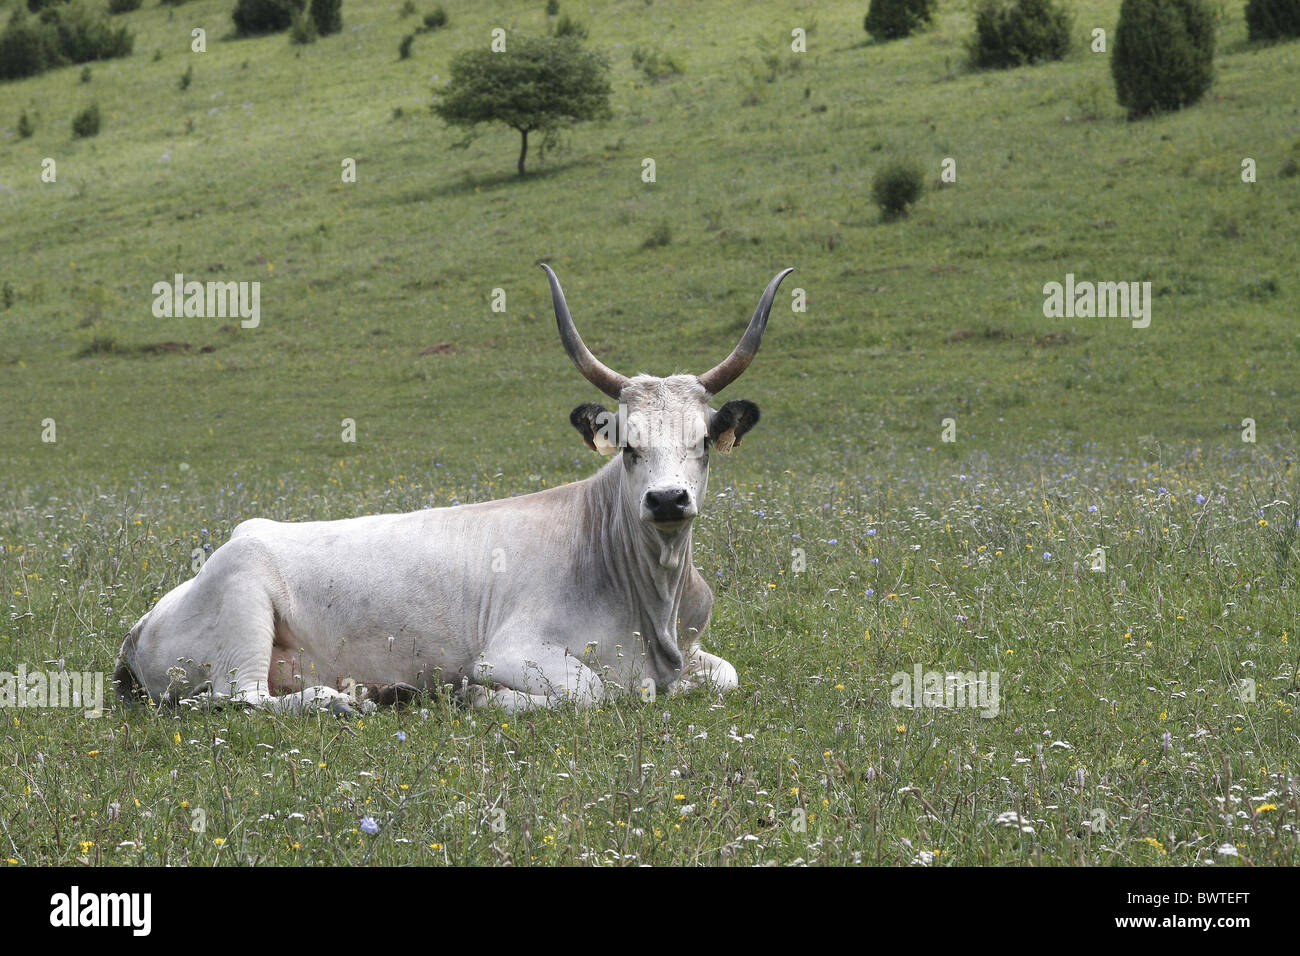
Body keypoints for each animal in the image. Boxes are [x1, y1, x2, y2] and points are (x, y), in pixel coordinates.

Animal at [113, 264, 793, 714]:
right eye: (628, 447)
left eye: (701, 443)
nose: (668, 500)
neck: (655, 608)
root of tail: (145, 619)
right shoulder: (513, 650)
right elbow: (594, 691)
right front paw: (480, 697)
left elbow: (727, 674)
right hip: (244, 593)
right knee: (239, 699)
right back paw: (342, 701)